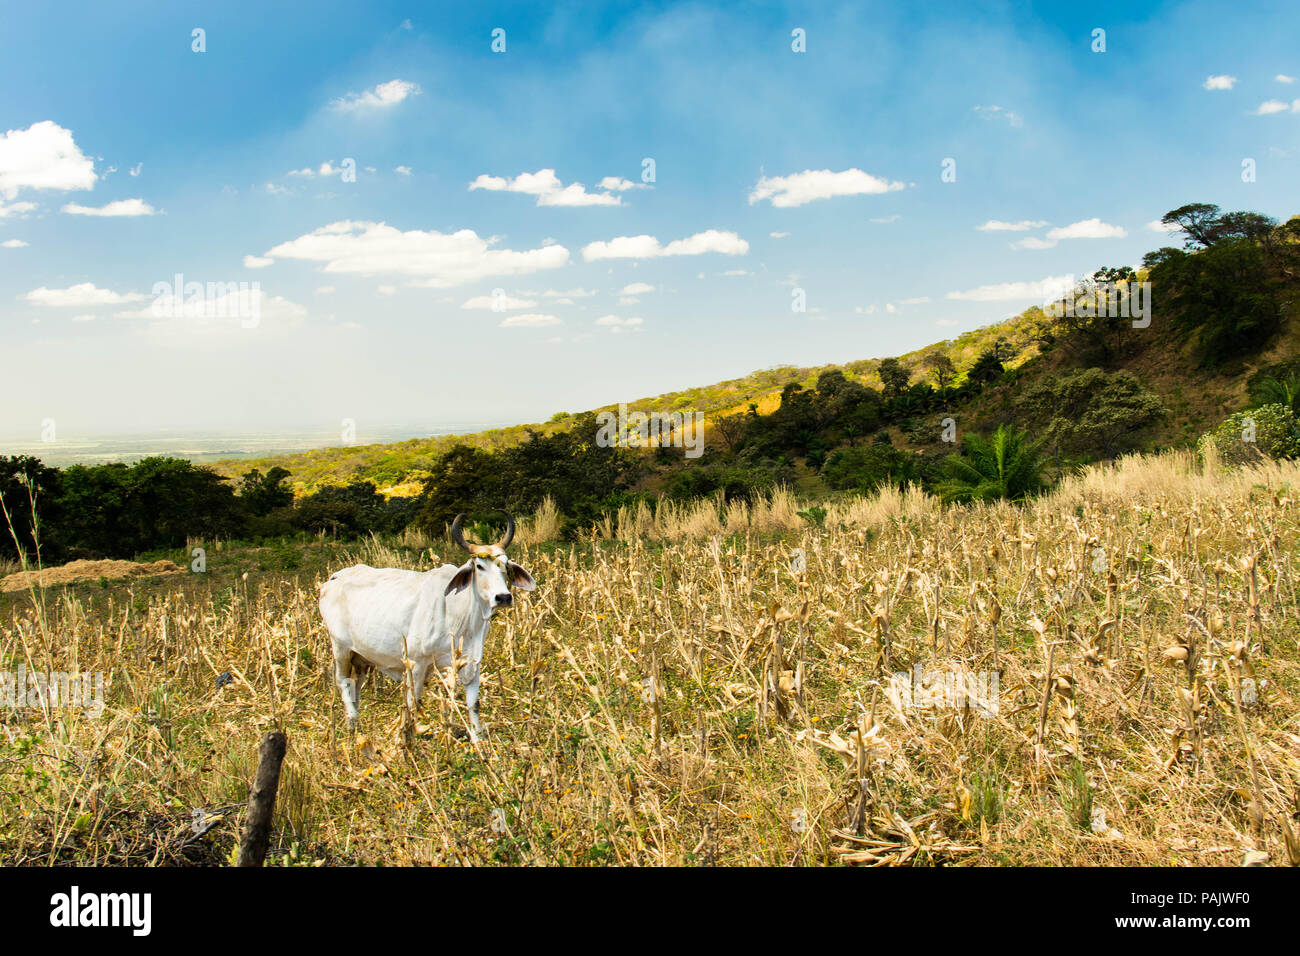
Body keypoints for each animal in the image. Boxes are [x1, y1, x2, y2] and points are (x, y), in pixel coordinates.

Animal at [318, 512, 536, 740]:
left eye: (506, 566)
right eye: (479, 566)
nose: (503, 597)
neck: (462, 616)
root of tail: (335, 578)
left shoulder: (472, 662)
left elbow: (473, 704)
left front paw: (478, 739)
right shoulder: (416, 663)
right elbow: (413, 703)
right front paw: (408, 738)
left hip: (361, 656)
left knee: (356, 684)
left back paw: (356, 722)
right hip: (340, 648)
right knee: (343, 681)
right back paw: (352, 721)